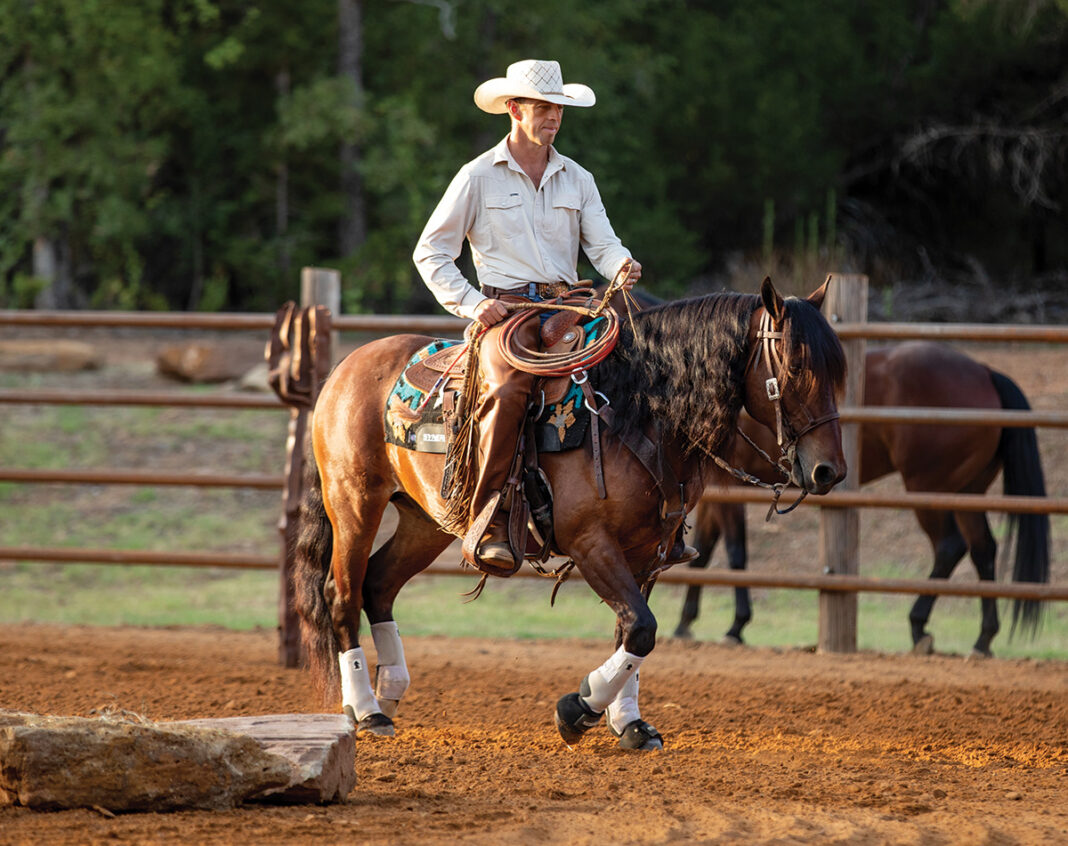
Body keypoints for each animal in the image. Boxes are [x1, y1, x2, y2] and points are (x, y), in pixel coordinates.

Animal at [293, 278, 847, 751]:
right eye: (797, 368)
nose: (829, 471)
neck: (638, 410)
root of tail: (345, 367)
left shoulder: (648, 549)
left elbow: (631, 632)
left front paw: (629, 722)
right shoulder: (590, 542)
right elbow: (641, 628)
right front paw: (578, 708)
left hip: (425, 520)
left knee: (379, 584)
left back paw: (390, 690)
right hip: (355, 502)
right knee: (342, 593)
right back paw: (366, 709)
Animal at [672, 341, 1050, 657]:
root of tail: (985, 372)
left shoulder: (727, 487)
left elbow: (735, 552)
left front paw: (735, 626)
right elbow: (703, 552)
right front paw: (685, 622)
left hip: (930, 490)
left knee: (949, 546)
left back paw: (919, 626)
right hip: (966, 492)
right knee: (982, 549)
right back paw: (983, 638)